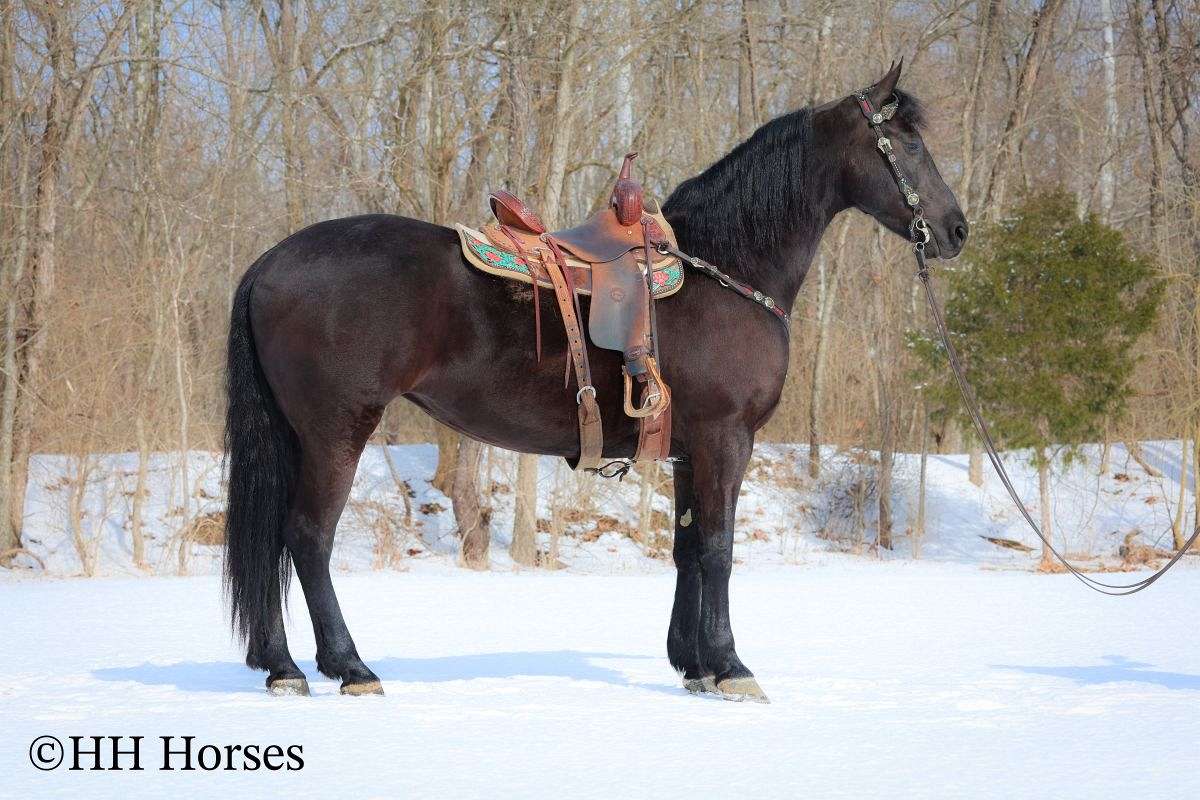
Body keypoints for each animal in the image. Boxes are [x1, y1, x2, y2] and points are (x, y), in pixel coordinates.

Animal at [223, 62, 968, 701]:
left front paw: (694, 665)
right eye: (905, 142)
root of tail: (268, 263)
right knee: (308, 537)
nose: (956, 229)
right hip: (337, 431)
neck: (726, 270)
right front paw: (731, 666)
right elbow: (720, 549)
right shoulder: (726, 439)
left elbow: (687, 549)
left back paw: (282, 666)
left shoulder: (689, 450)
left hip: (296, 435)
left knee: (273, 540)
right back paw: (348, 666)